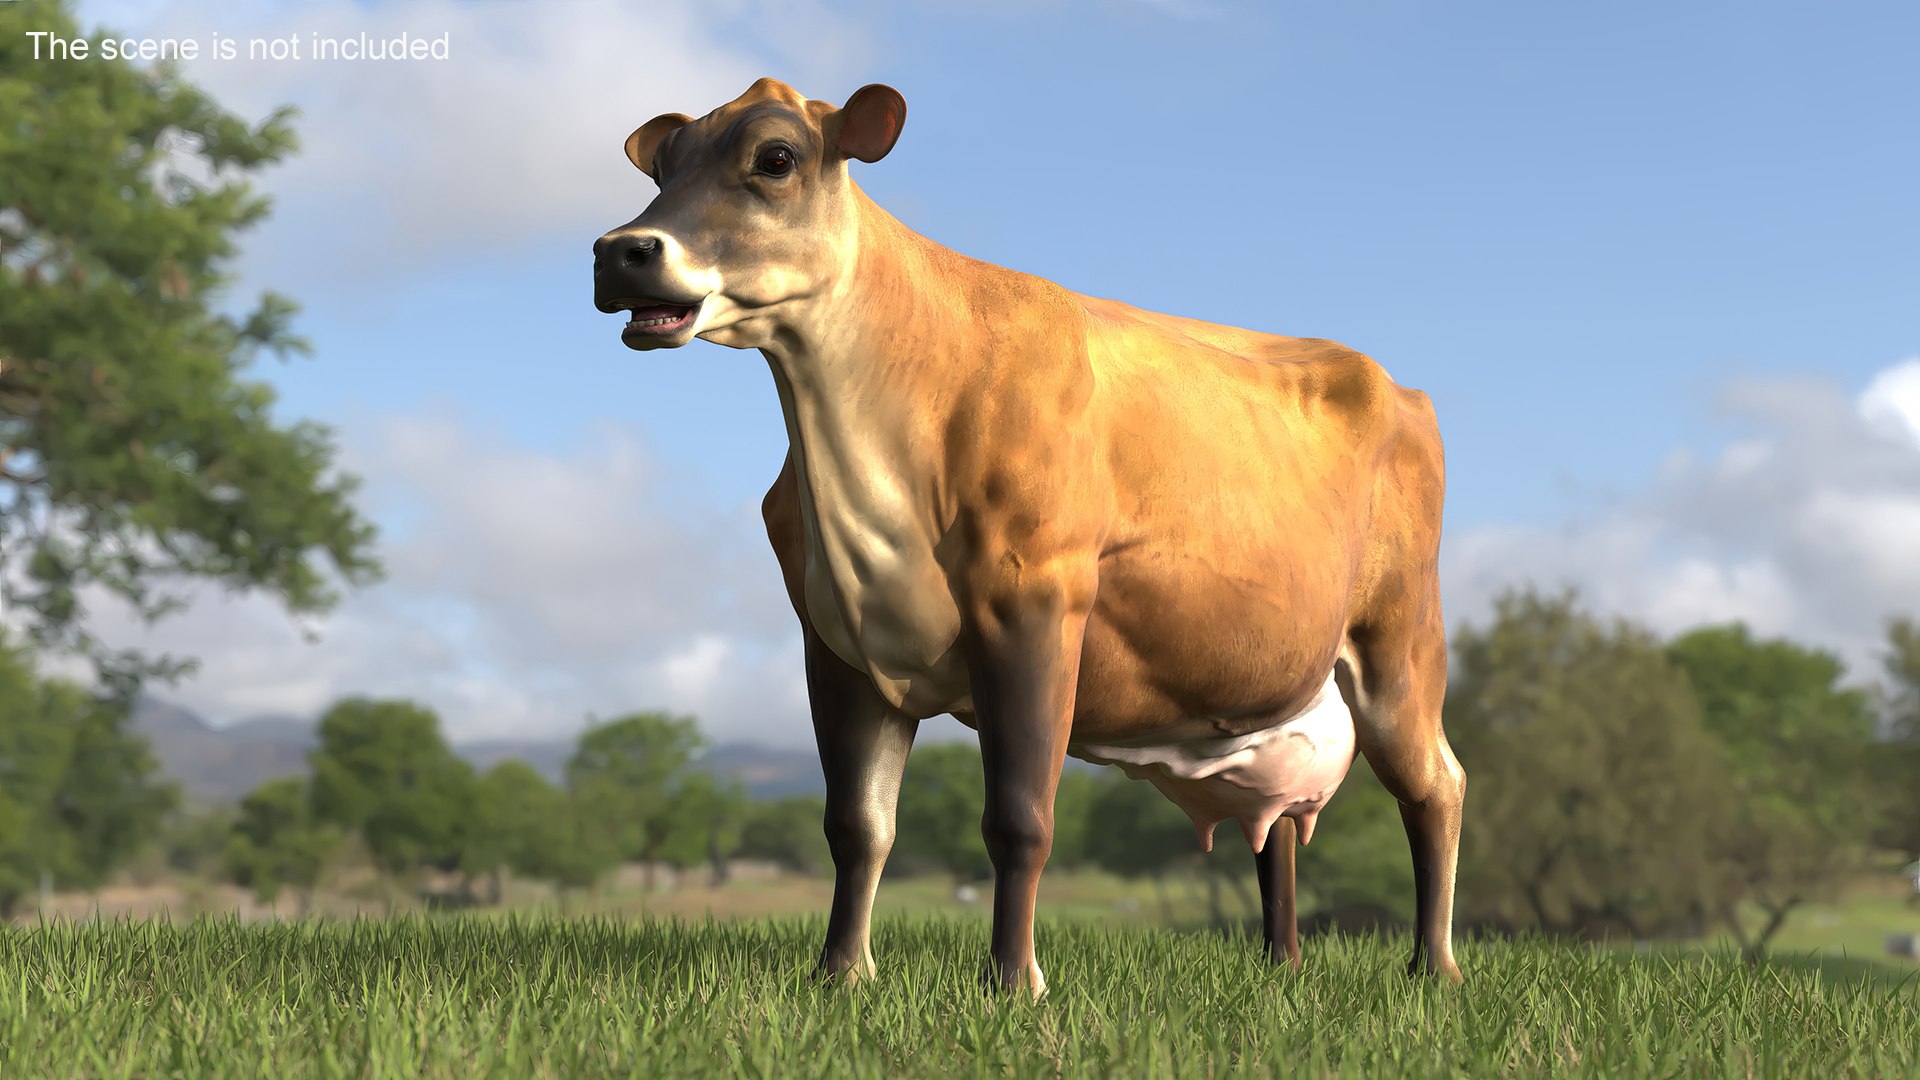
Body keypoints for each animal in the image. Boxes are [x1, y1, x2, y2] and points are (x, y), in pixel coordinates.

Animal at [592, 78, 1465, 994]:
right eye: (663, 165)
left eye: (775, 157)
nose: (620, 251)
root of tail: (1395, 383)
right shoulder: (835, 636)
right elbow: (858, 826)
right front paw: (841, 976)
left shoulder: (1033, 600)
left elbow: (1020, 818)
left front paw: (1013, 984)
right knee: (1282, 823)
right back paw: (1281, 963)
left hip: (1401, 638)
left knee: (1437, 786)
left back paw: (1433, 968)